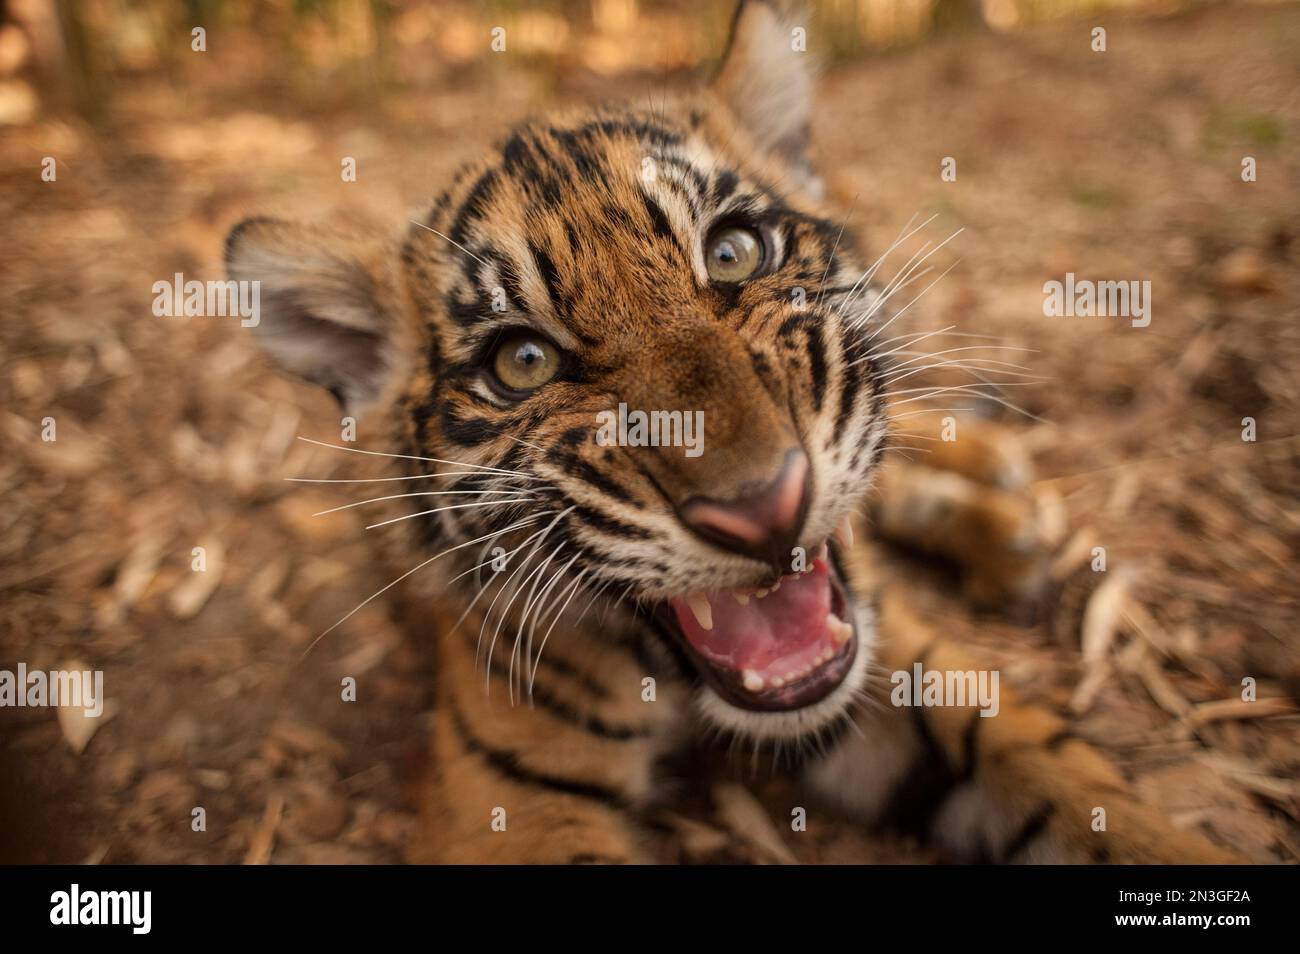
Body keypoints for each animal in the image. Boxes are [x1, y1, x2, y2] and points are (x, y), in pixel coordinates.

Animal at [225, 0, 1240, 864]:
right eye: (522, 362)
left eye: (732, 251)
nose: (764, 509)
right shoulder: (513, 804)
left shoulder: (905, 665)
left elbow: (1078, 785)